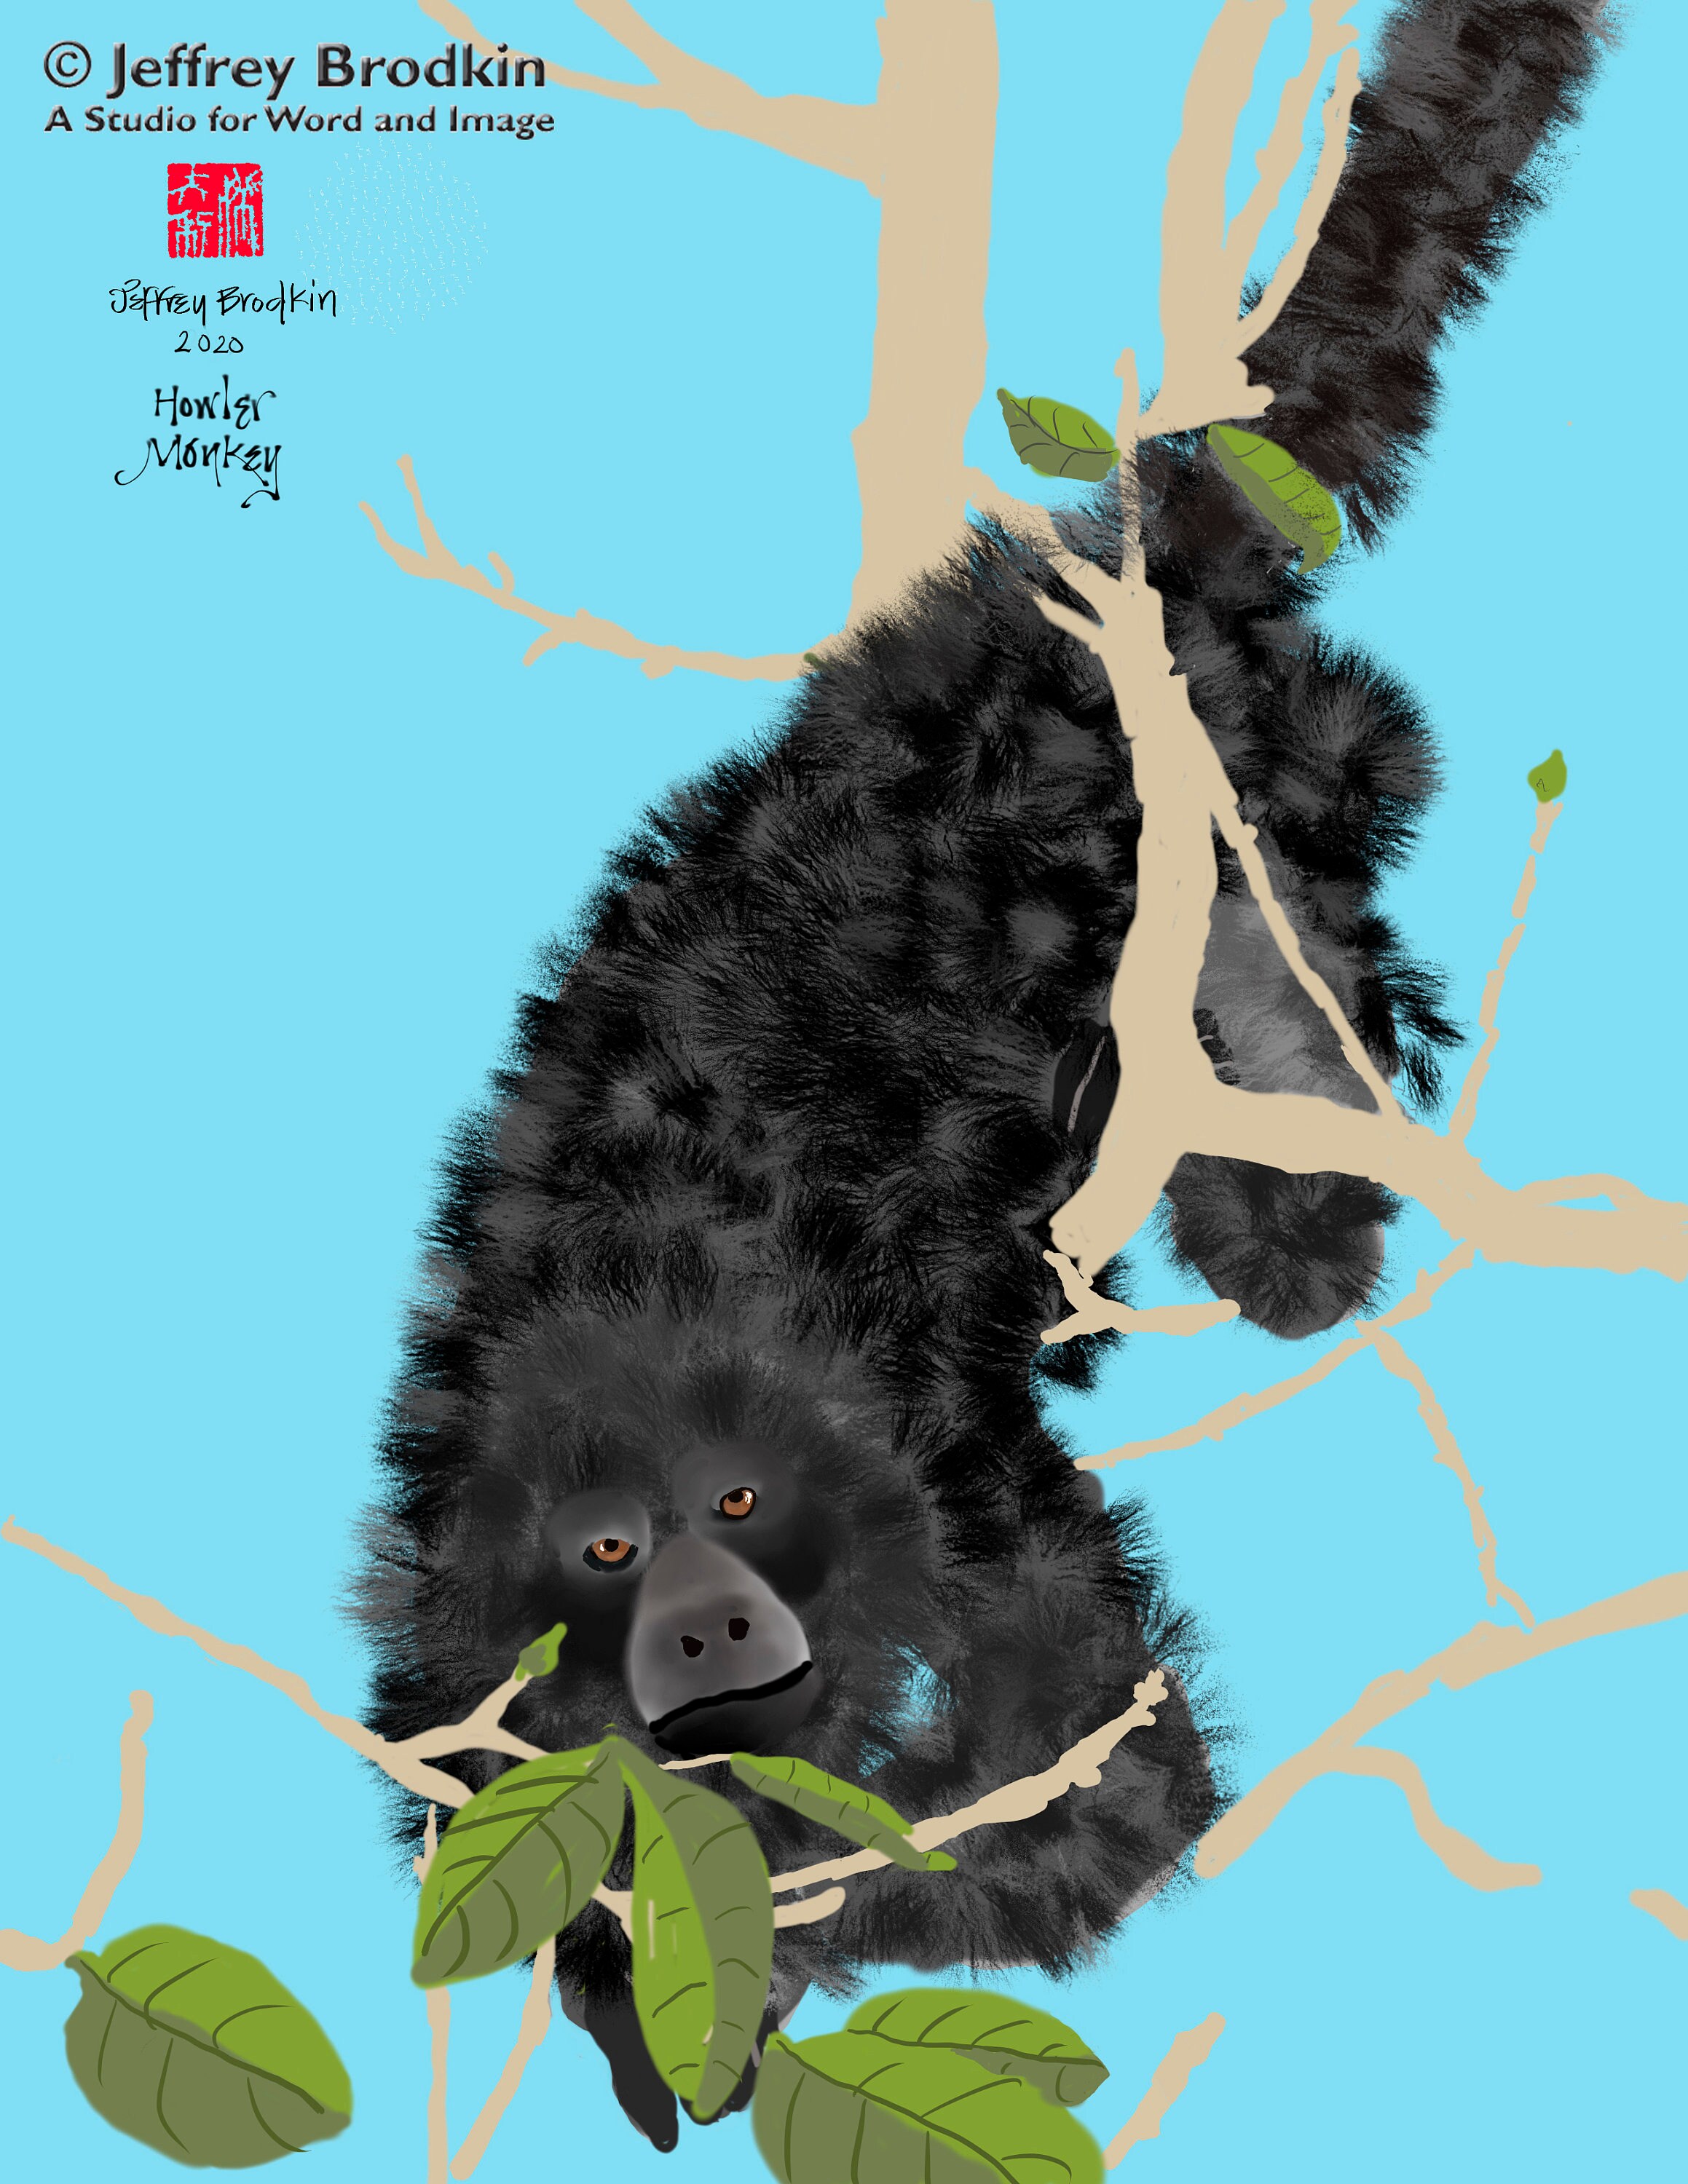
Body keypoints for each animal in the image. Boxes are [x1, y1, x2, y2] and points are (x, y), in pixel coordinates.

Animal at [353, 0, 1616, 2151]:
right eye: (608, 1548)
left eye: (739, 1503)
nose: (704, 1614)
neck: (637, 1299)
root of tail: (1071, 581)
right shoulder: (439, 1650)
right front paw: (641, 1959)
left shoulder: (937, 1464)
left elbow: (1100, 1769)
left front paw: (738, 1918)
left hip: (1237, 750)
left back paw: (1295, 1165)